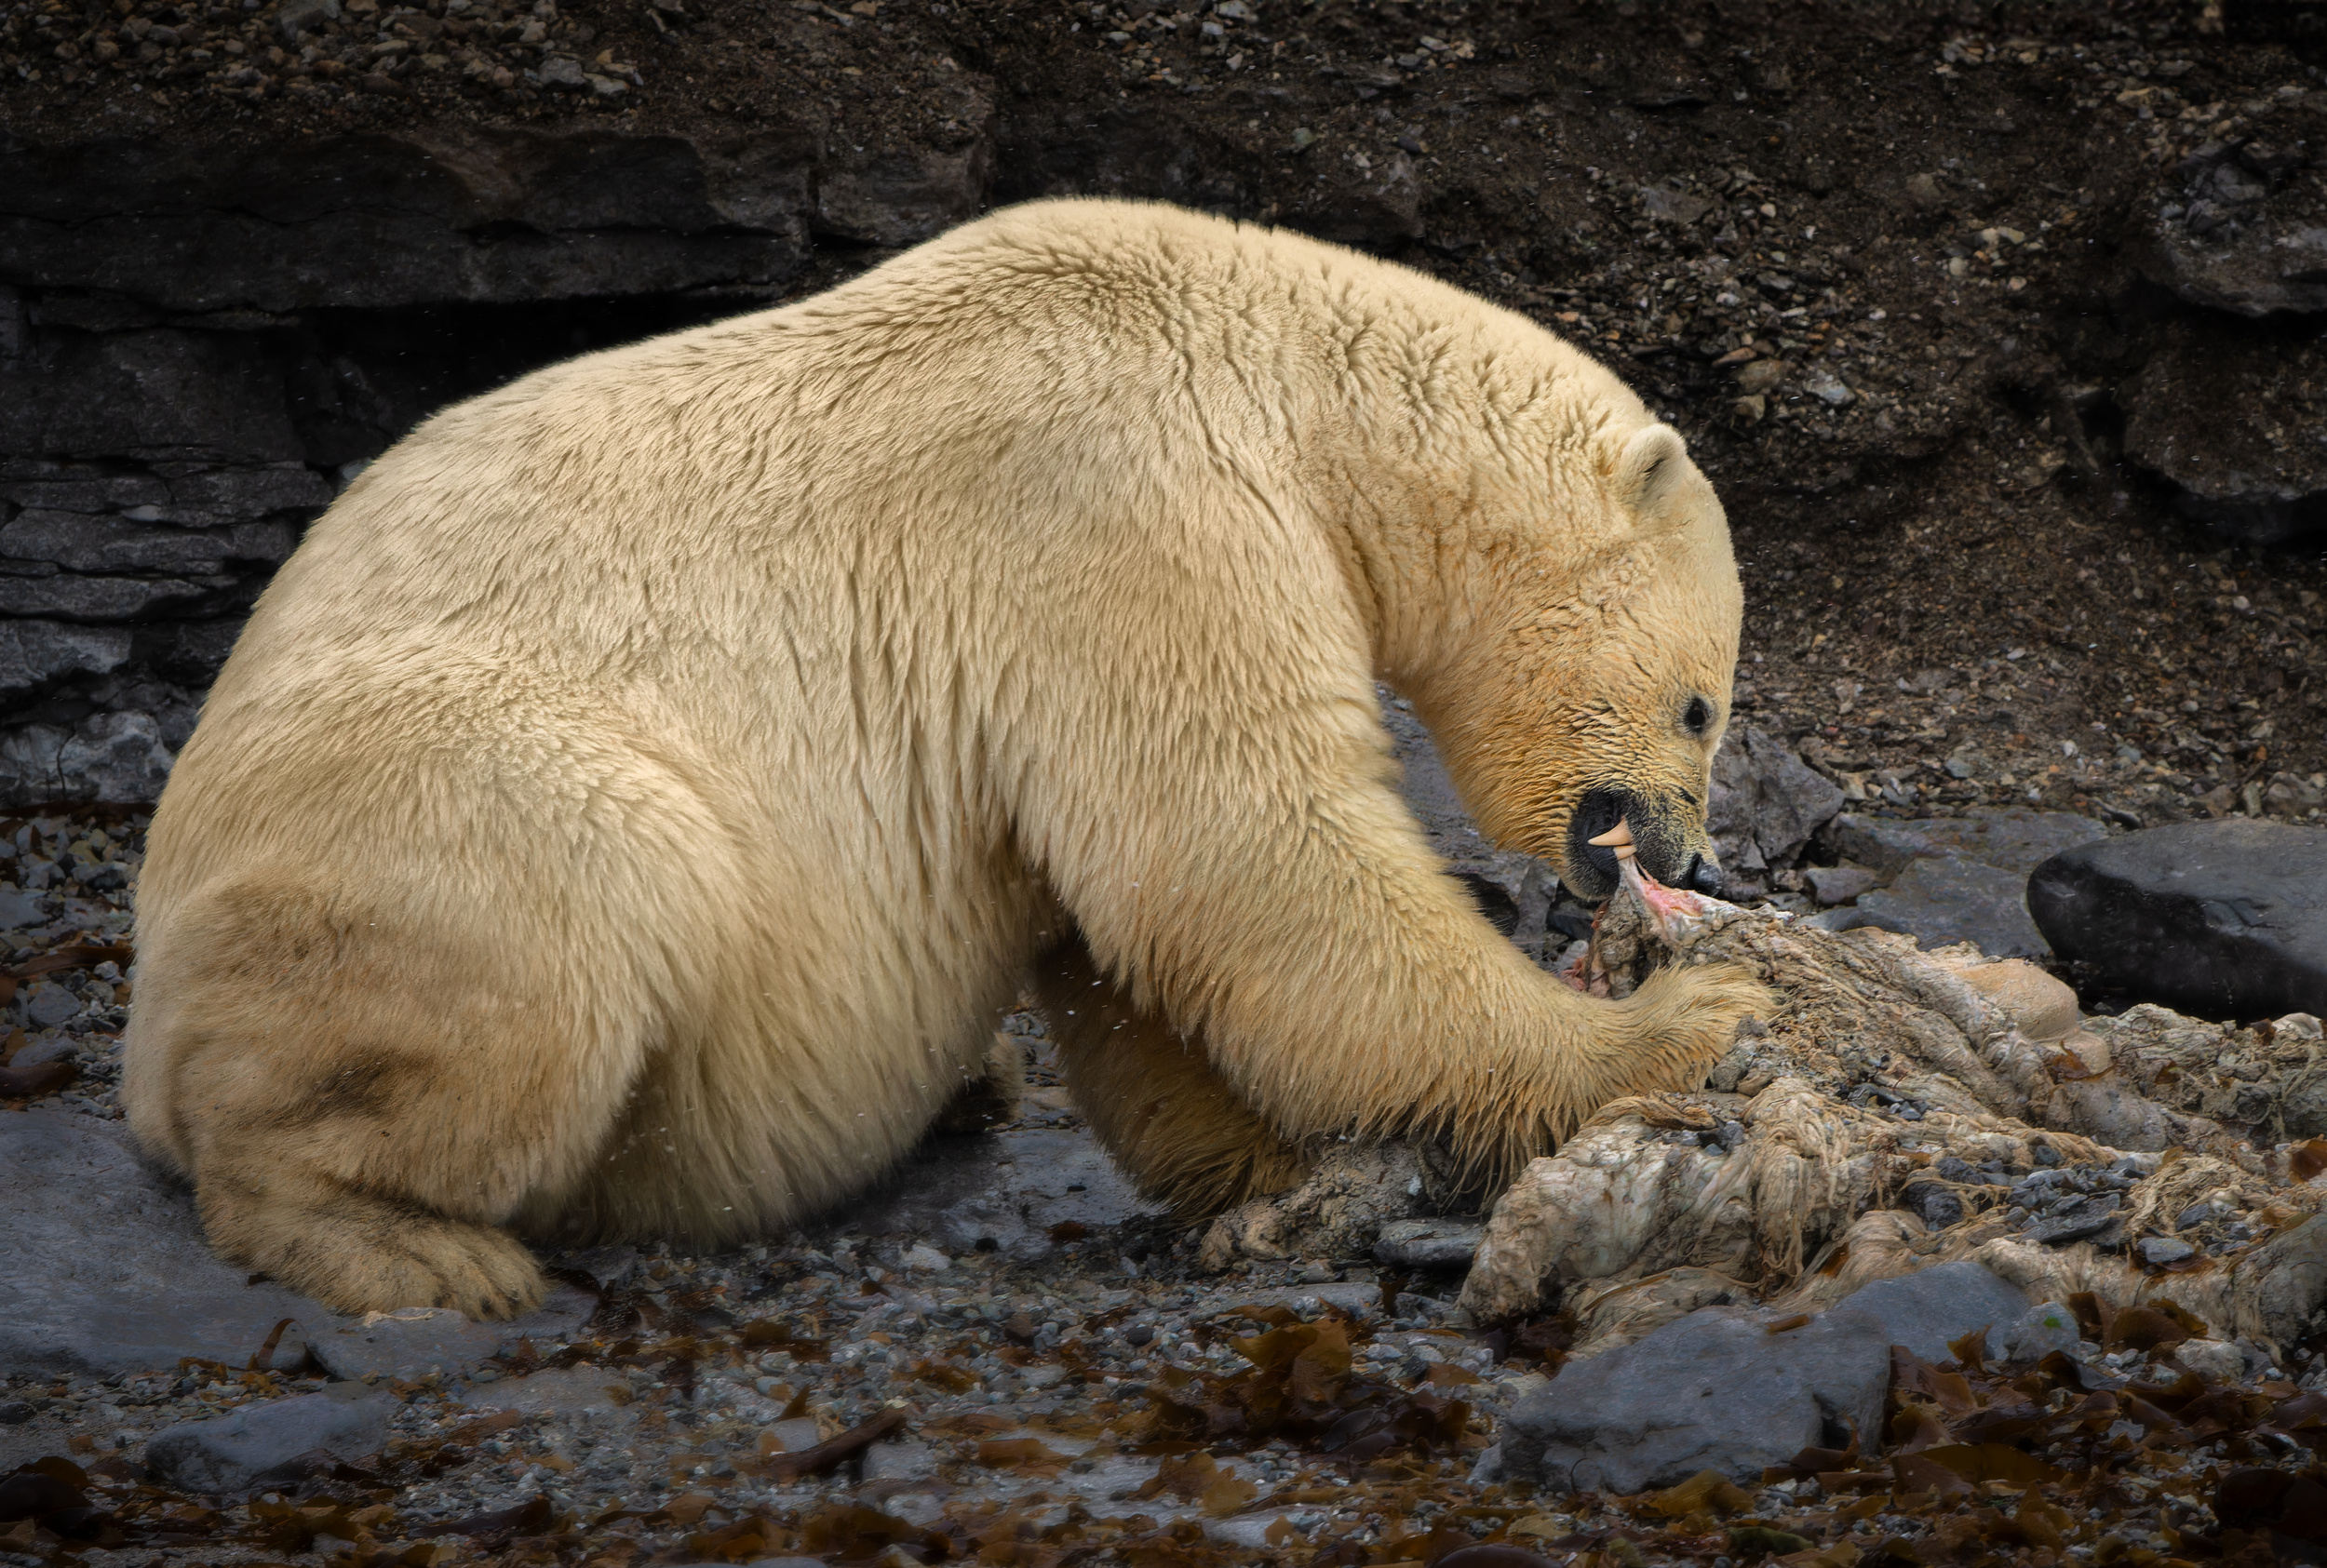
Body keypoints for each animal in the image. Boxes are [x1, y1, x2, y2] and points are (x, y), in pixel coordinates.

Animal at [121, 197, 1767, 1319]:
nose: (1687, 852)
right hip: (419, 792)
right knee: (570, 883)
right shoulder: (1119, 498)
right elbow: (1244, 845)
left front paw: (1277, 1175)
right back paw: (415, 1246)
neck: (1273, 363)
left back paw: (974, 1083)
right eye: (1703, 706)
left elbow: (1123, 939)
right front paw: (1686, 1024)